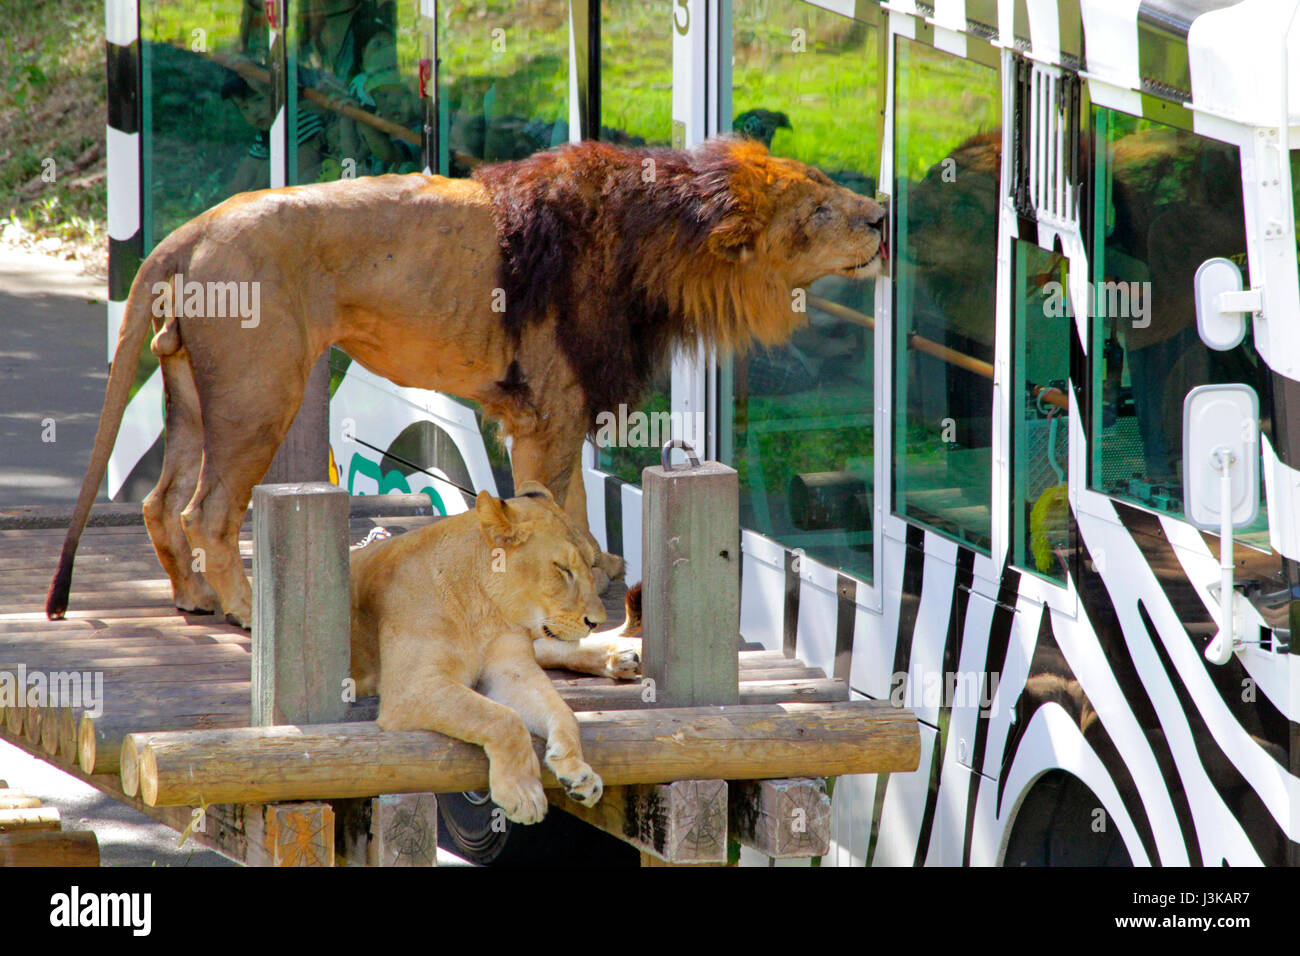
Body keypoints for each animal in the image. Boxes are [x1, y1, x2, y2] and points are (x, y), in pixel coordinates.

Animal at [46, 137, 886, 627]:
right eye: (818, 208)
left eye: (828, 187)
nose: (881, 215)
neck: (662, 239)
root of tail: (186, 233)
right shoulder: (552, 402)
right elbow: (562, 497)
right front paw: (582, 573)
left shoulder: (554, 406)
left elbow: (571, 497)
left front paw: (596, 563)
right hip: (262, 392)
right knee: (207, 511)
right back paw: (246, 609)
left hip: (193, 394)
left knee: (159, 502)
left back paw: (191, 597)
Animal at [350, 481, 610, 823]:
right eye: (562, 568)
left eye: (593, 564)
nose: (597, 621)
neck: (484, 608)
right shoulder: (410, 688)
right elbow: (503, 718)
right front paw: (522, 791)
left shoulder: (512, 671)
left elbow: (564, 713)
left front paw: (577, 771)